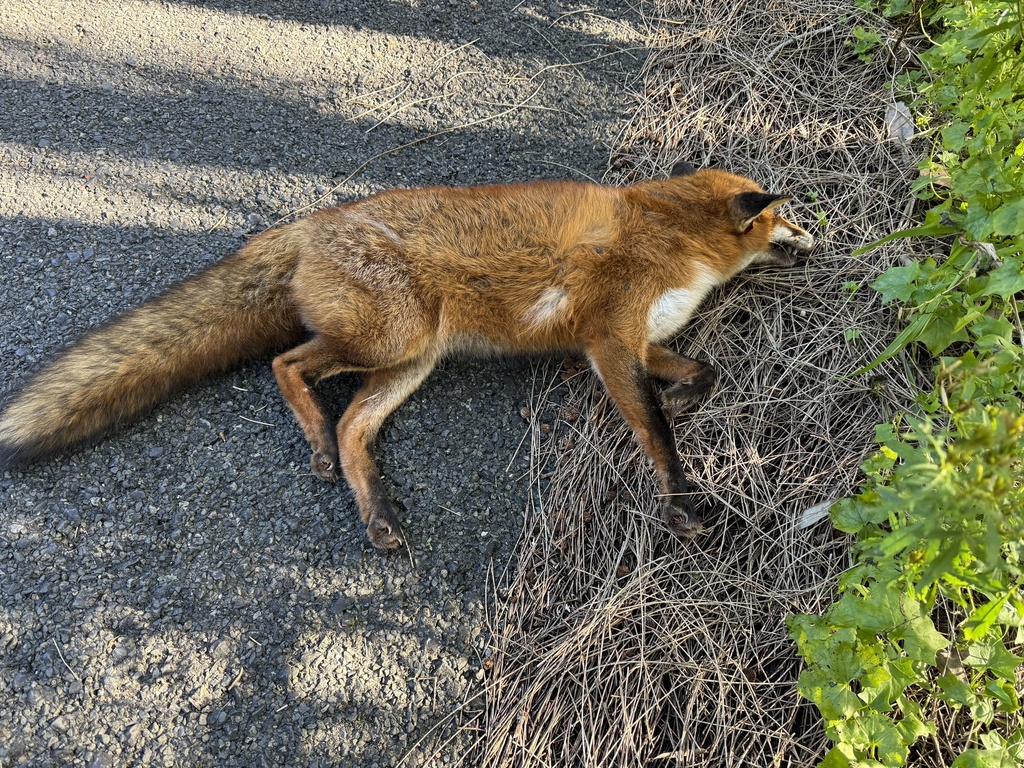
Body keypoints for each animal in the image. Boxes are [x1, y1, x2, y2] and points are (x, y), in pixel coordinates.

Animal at [0, 162, 813, 549]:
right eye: (791, 217)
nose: (819, 236)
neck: (673, 233)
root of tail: (311, 222)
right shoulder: (612, 338)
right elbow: (656, 431)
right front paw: (681, 501)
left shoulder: (621, 343)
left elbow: (699, 375)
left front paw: (679, 394)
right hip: (393, 336)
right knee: (286, 366)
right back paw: (315, 440)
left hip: (409, 362)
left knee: (353, 428)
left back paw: (377, 512)